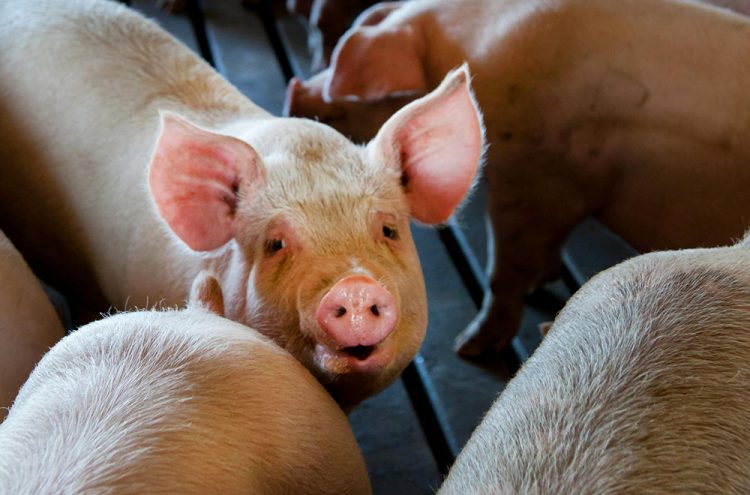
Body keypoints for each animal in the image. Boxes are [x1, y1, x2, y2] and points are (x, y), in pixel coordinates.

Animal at [286, 0, 750, 358]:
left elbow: (505, 270)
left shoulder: (534, 181)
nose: (294, 91)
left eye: (345, 90)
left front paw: (468, 348)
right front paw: (543, 279)